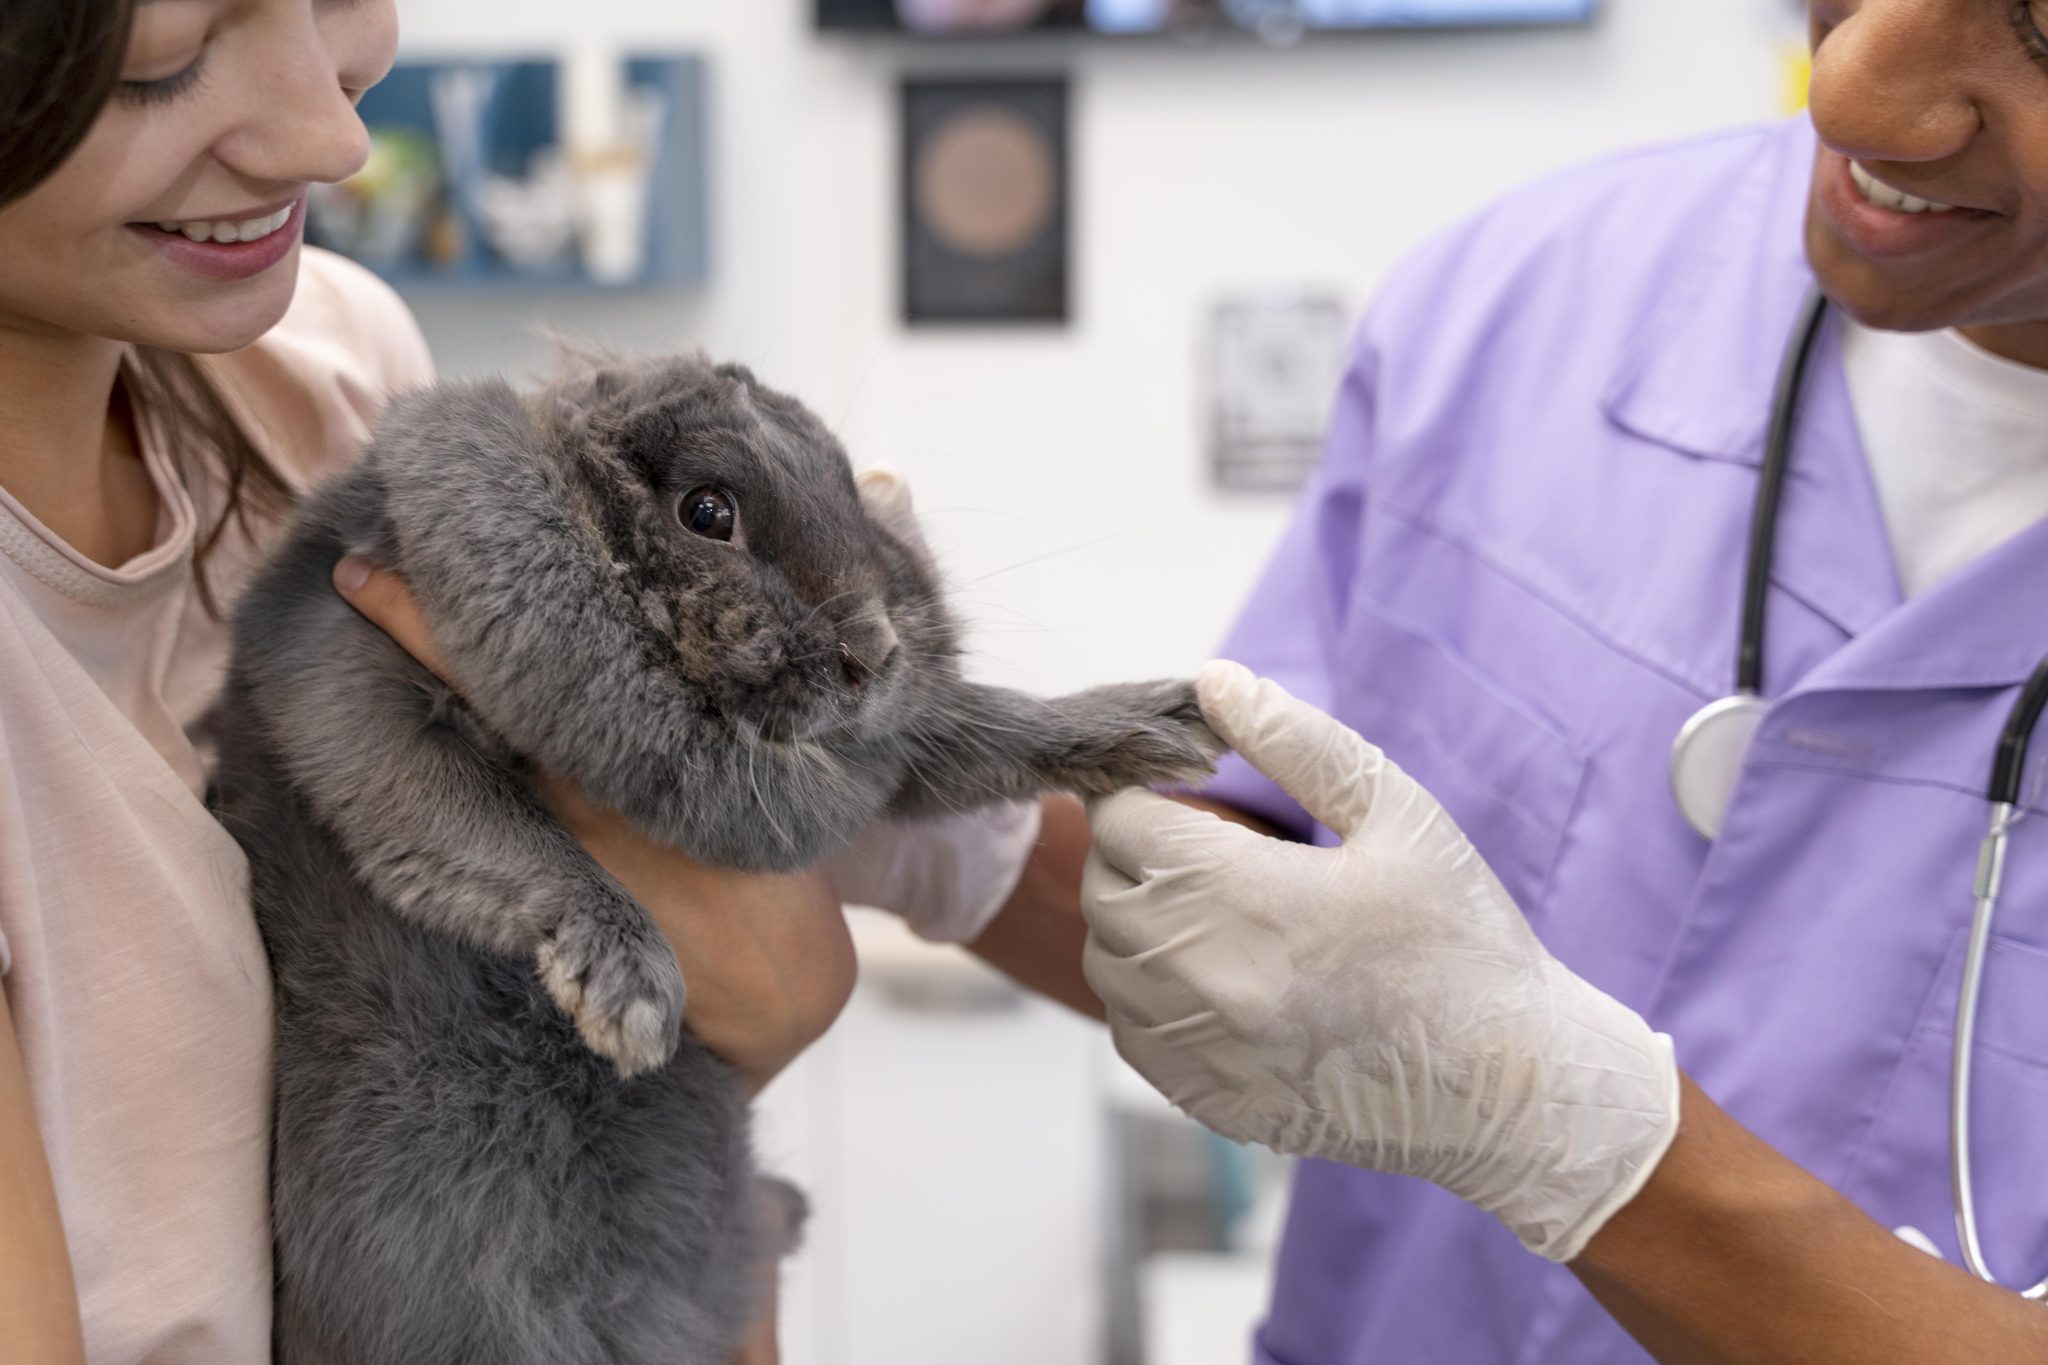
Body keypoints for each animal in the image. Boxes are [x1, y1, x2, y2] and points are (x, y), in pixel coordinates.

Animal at [207, 349, 1220, 1365]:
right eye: (706, 511)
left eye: (848, 486)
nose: (874, 650)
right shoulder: (360, 691)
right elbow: (499, 832)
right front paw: (631, 994)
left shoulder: (898, 754)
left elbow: (988, 728)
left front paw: (1159, 724)